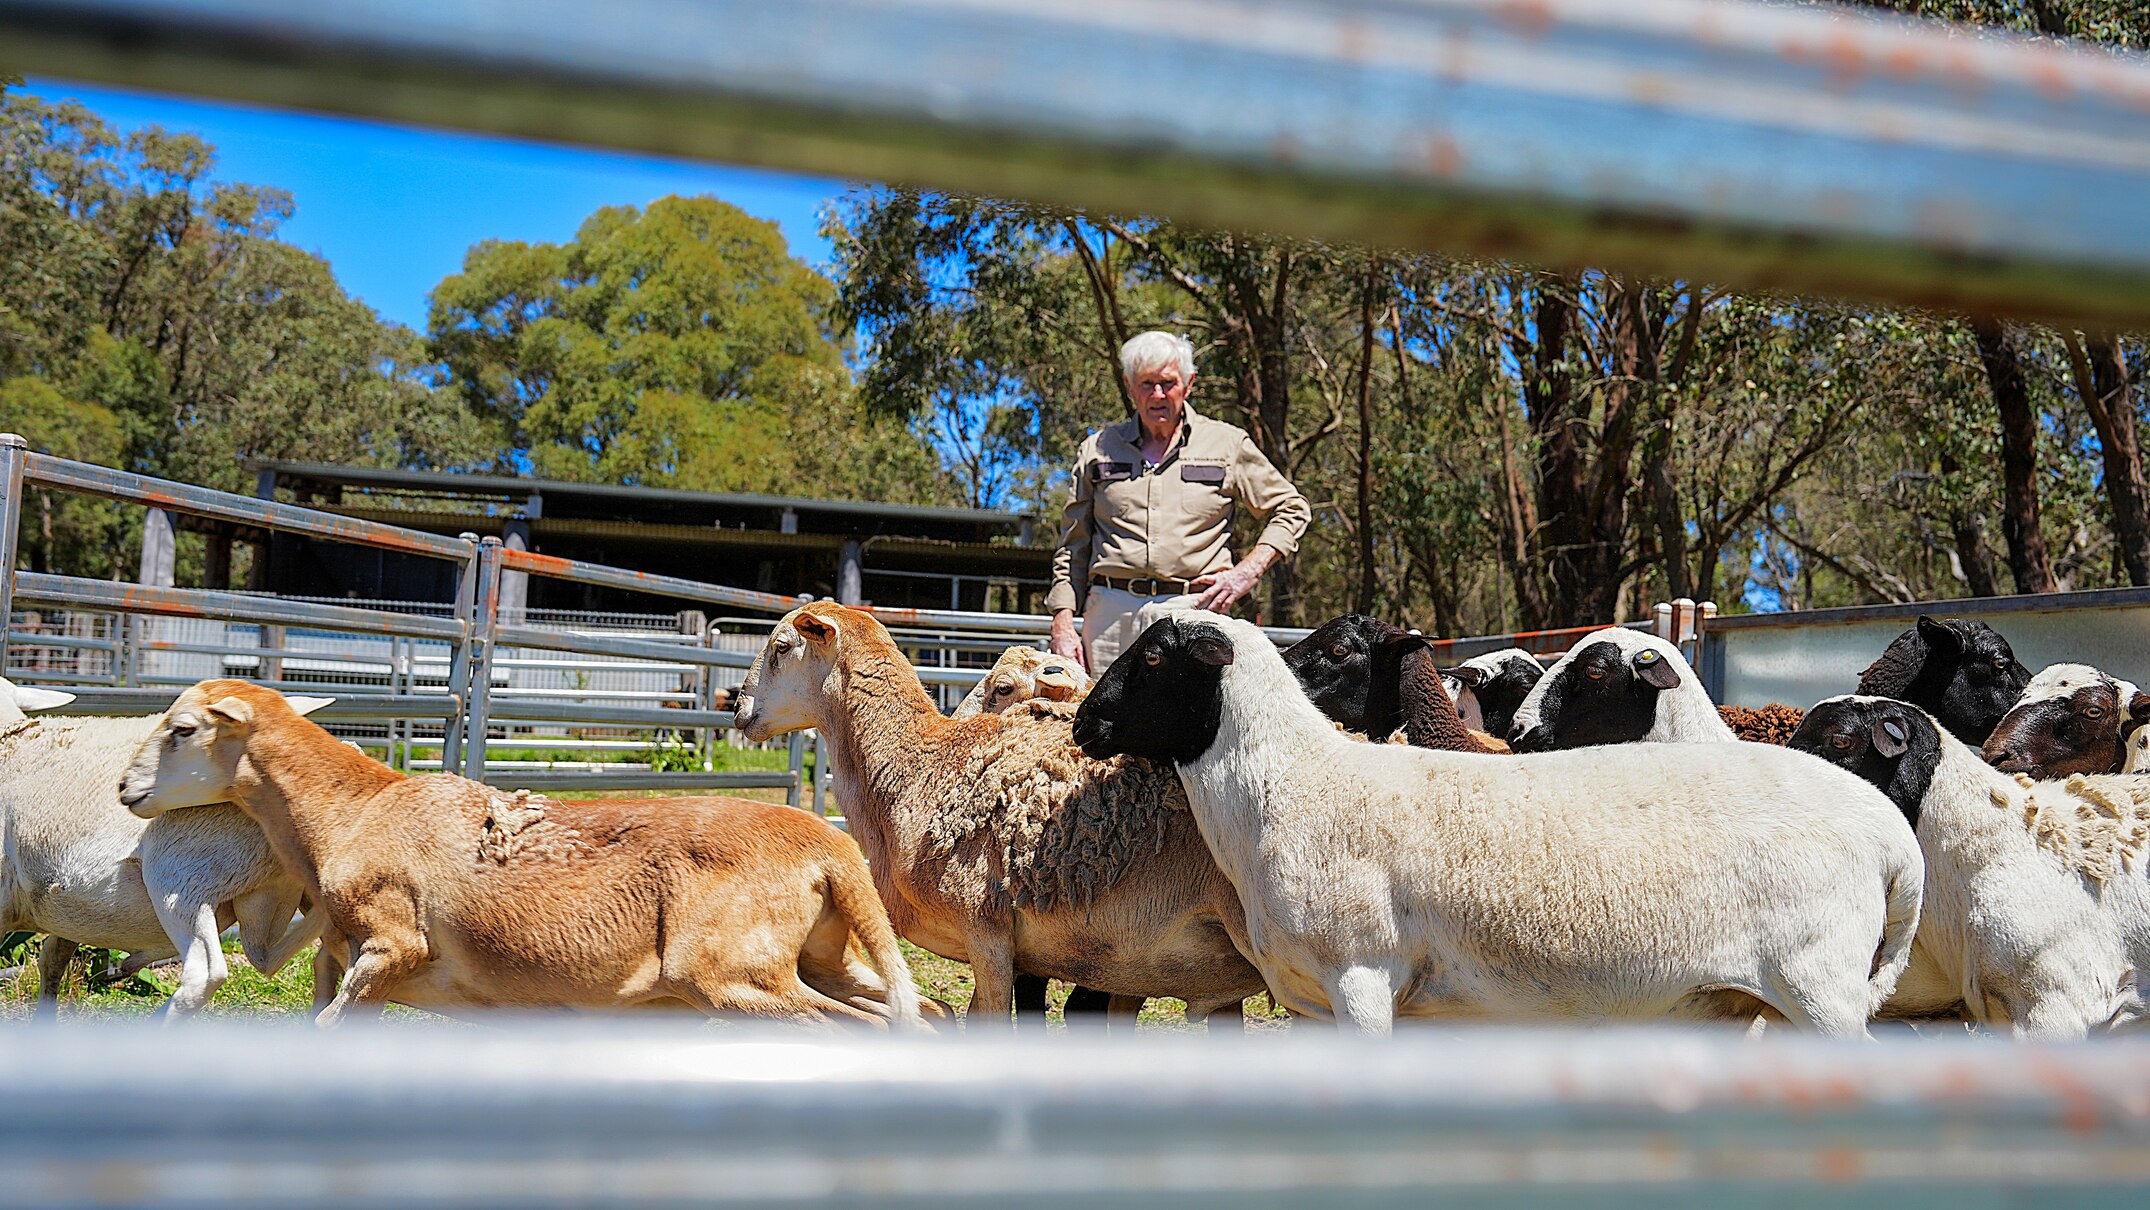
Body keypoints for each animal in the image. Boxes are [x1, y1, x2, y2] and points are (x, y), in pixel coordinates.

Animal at [116, 679, 925, 1028]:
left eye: (182, 729)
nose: (126, 788)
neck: (350, 812)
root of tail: (828, 843)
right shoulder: (347, 961)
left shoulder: (392, 947)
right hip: (824, 959)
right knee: (921, 1012)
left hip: (731, 977)